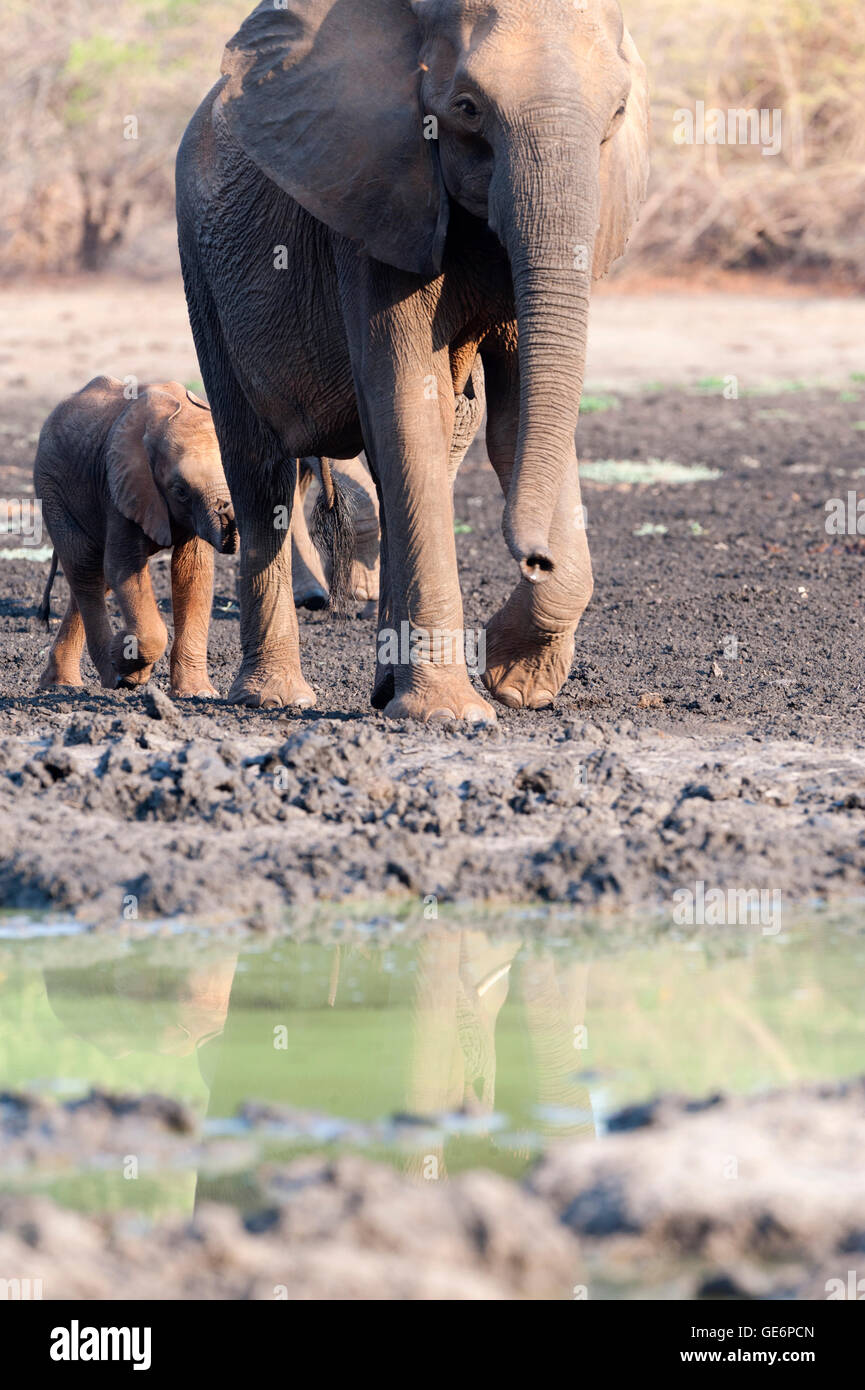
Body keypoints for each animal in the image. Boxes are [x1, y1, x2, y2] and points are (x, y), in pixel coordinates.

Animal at [34, 376, 237, 696]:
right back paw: (112, 675)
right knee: (85, 568)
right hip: (51, 487)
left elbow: (193, 572)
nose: (227, 513)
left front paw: (197, 694)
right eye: (180, 491)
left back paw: (61, 684)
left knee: (94, 576)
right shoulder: (122, 485)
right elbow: (123, 567)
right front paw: (130, 666)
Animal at [176, 0, 650, 720]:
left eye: (618, 111)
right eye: (467, 108)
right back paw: (277, 699)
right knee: (260, 471)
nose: (535, 558)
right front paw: (452, 713)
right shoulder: (372, 200)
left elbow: (511, 419)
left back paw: (376, 687)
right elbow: (408, 401)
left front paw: (518, 679)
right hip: (200, 266)